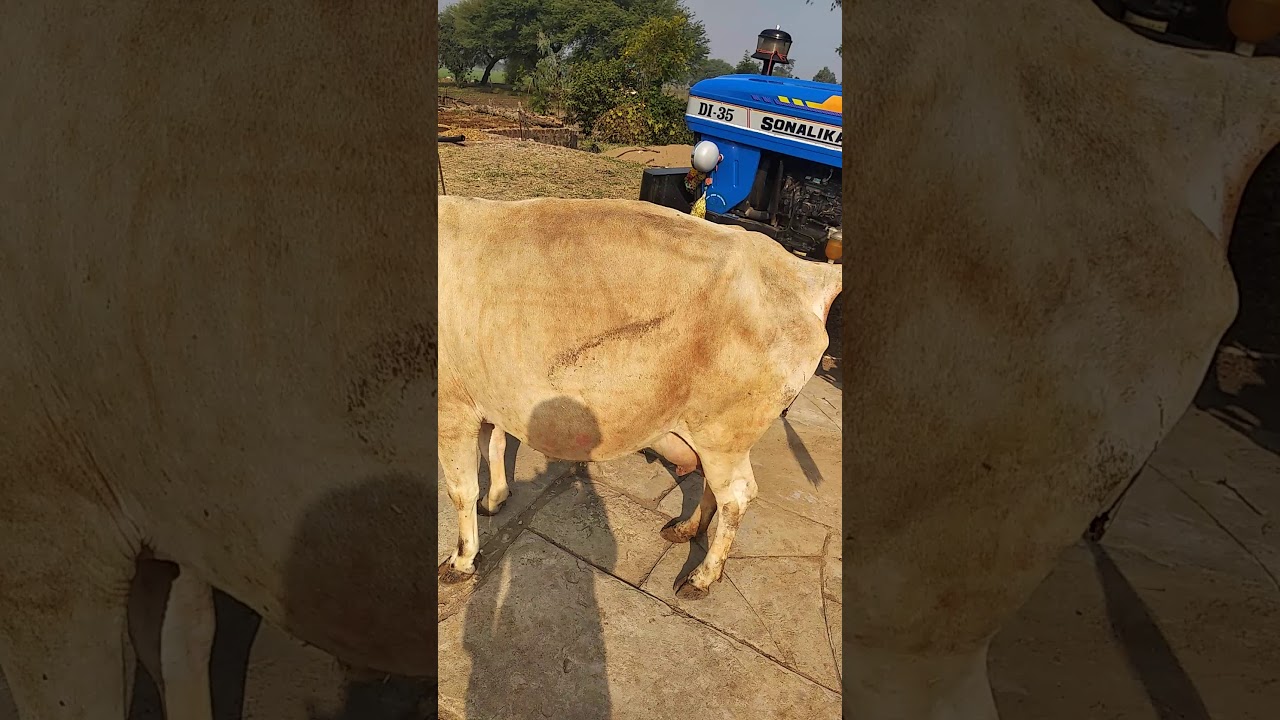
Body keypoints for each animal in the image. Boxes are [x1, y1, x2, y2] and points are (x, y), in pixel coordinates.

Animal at [436, 195, 842, 600]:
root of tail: (803, 272)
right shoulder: (482, 396)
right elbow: (494, 448)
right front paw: (495, 499)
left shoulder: (450, 411)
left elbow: (461, 489)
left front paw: (461, 560)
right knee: (714, 489)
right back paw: (686, 529)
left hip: (724, 434)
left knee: (736, 497)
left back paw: (701, 577)